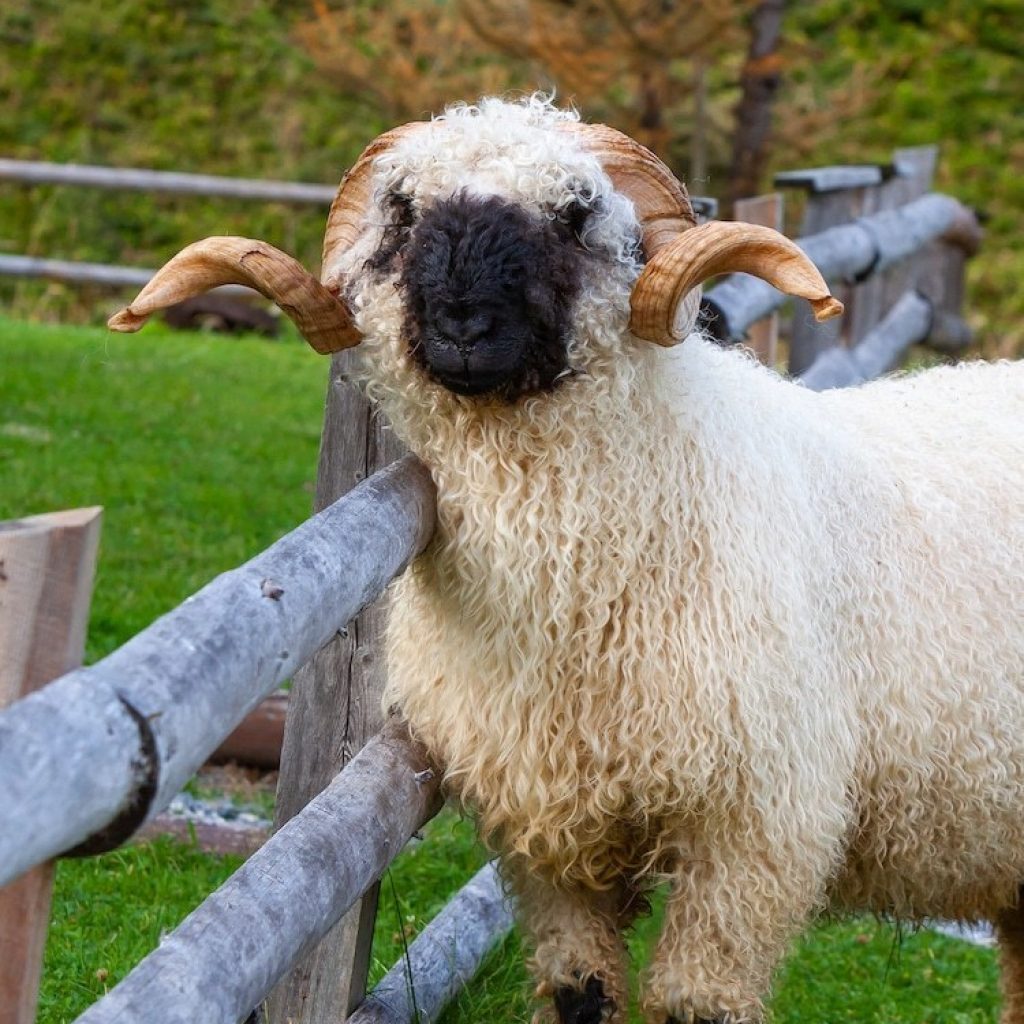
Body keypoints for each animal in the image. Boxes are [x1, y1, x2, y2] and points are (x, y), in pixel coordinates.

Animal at [110, 96, 1024, 1024]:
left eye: (574, 214)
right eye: (402, 214)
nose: (463, 327)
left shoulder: (756, 832)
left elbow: (696, 1003)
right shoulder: (545, 827)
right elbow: (580, 992)